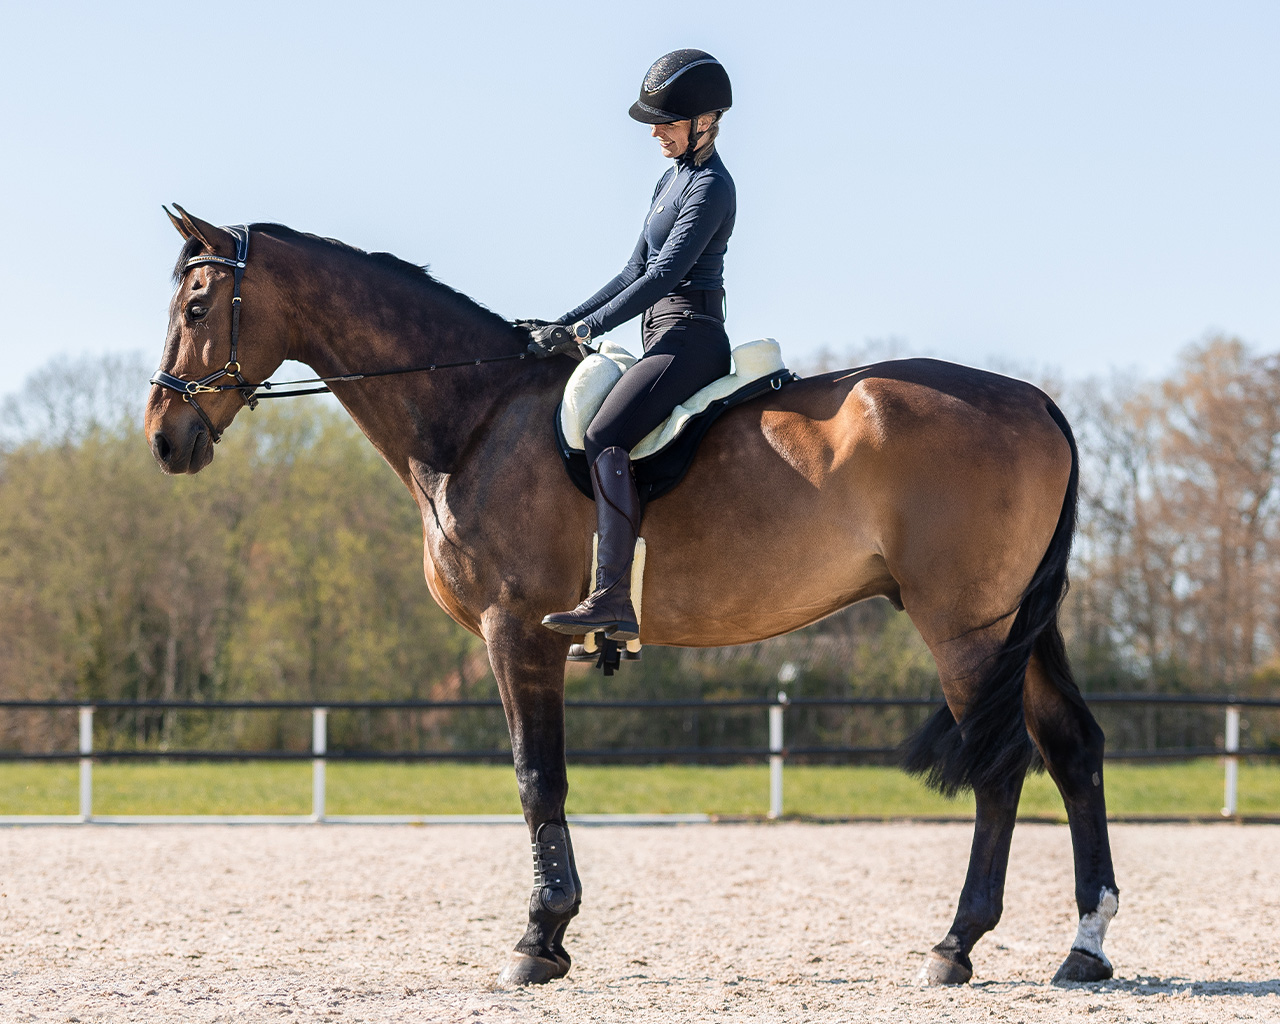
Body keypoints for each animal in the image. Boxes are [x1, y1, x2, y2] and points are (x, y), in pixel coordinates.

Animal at [145, 206, 1119, 987]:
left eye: (196, 308)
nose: (163, 438)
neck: (474, 413)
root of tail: (1035, 401)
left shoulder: (517, 631)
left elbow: (537, 778)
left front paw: (539, 942)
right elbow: (543, 780)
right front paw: (550, 936)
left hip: (963, 629)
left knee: (1001, 765)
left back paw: (955, 946)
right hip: (1018, 628)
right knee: (1073, 750)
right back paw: (1085, 947)